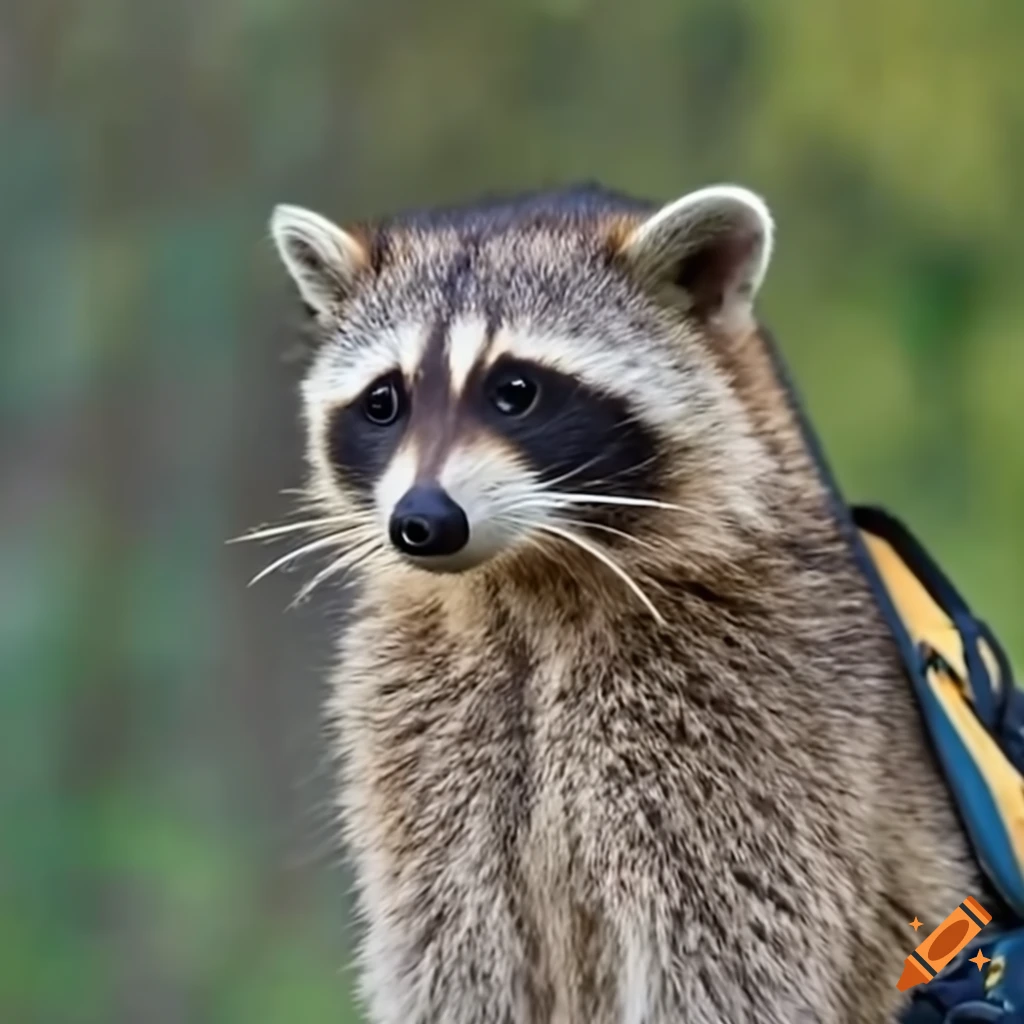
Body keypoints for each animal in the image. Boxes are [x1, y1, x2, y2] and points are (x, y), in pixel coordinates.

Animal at [265, 184, 977, 1024]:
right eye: (384, 402)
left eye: (516, 392)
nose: (422, 521)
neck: (524, 584)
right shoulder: (416, 734)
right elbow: (450, 955)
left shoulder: (758, 723)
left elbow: (734, 961)